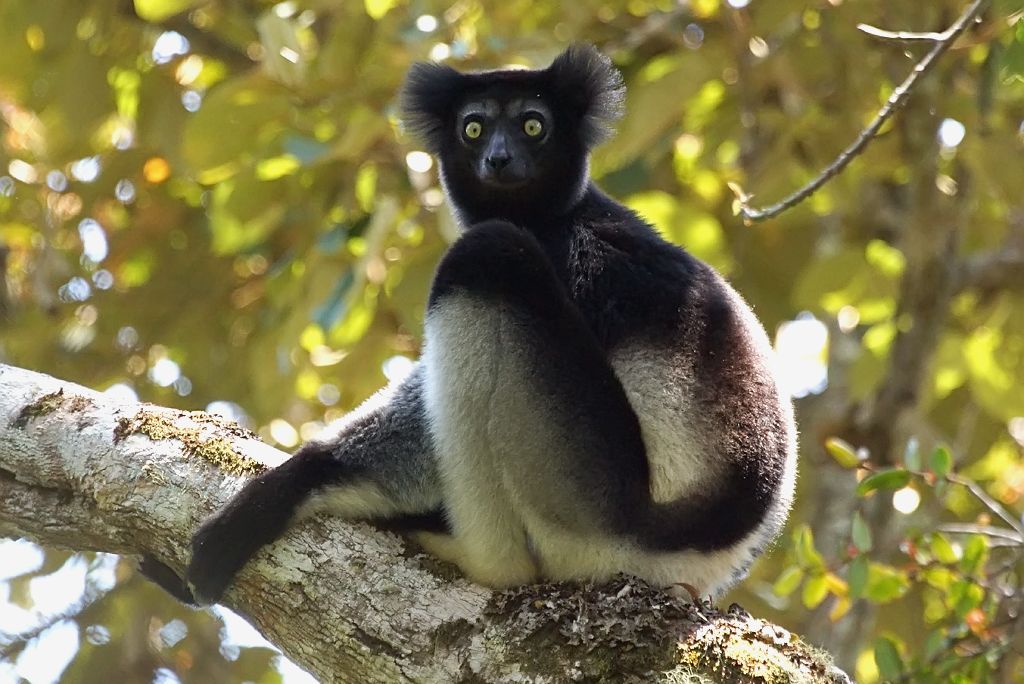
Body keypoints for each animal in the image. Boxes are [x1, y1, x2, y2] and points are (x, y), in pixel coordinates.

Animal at [177, 43, 797, 606]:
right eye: (473, 128)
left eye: (533, 125)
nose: (498, 159)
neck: (557, 212)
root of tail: (697, 557)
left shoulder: (574, 256)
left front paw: (288, 488)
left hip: (586, 503)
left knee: (488, 257)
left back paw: (475, 555)